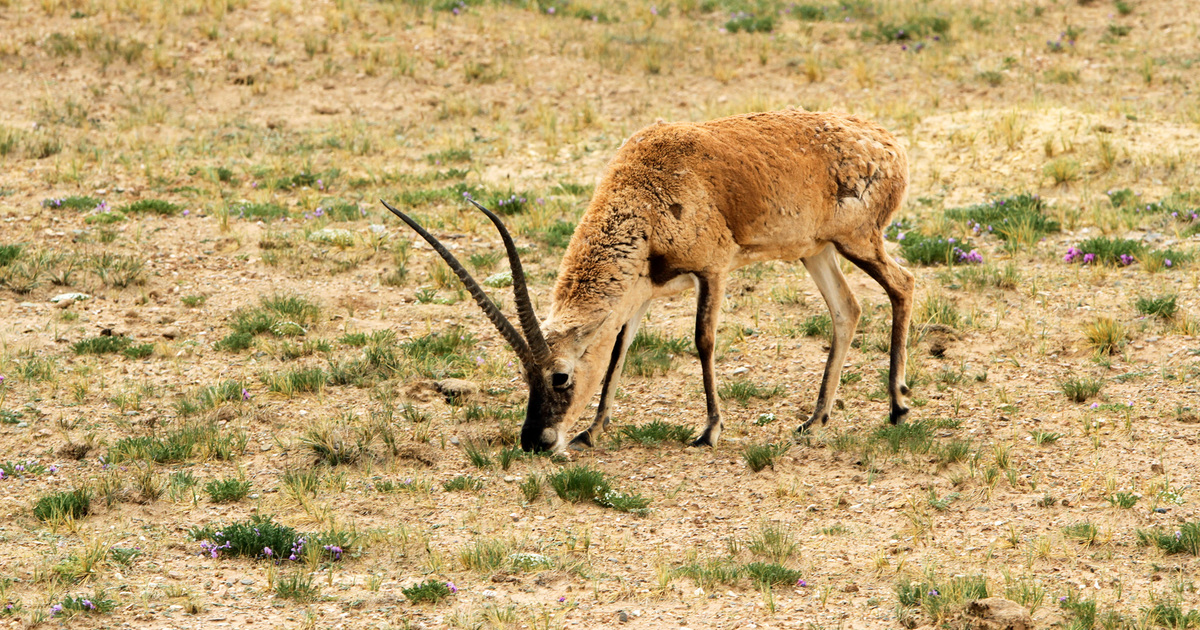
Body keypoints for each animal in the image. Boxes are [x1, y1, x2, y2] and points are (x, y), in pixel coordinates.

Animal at [382, 109, 914, 454]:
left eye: (560, 376)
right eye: (523, 375)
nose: (536, 441)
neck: (646, 189)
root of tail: (888, 143)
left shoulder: (713, 271)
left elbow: (703, 341)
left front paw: (709, 430)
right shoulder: (640, 295)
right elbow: (619, 350)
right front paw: (593, 431)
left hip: (858, 240)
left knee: (903, 285)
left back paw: (897, 407)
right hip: (817, 251)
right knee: (847, 310)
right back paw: (814, 419)